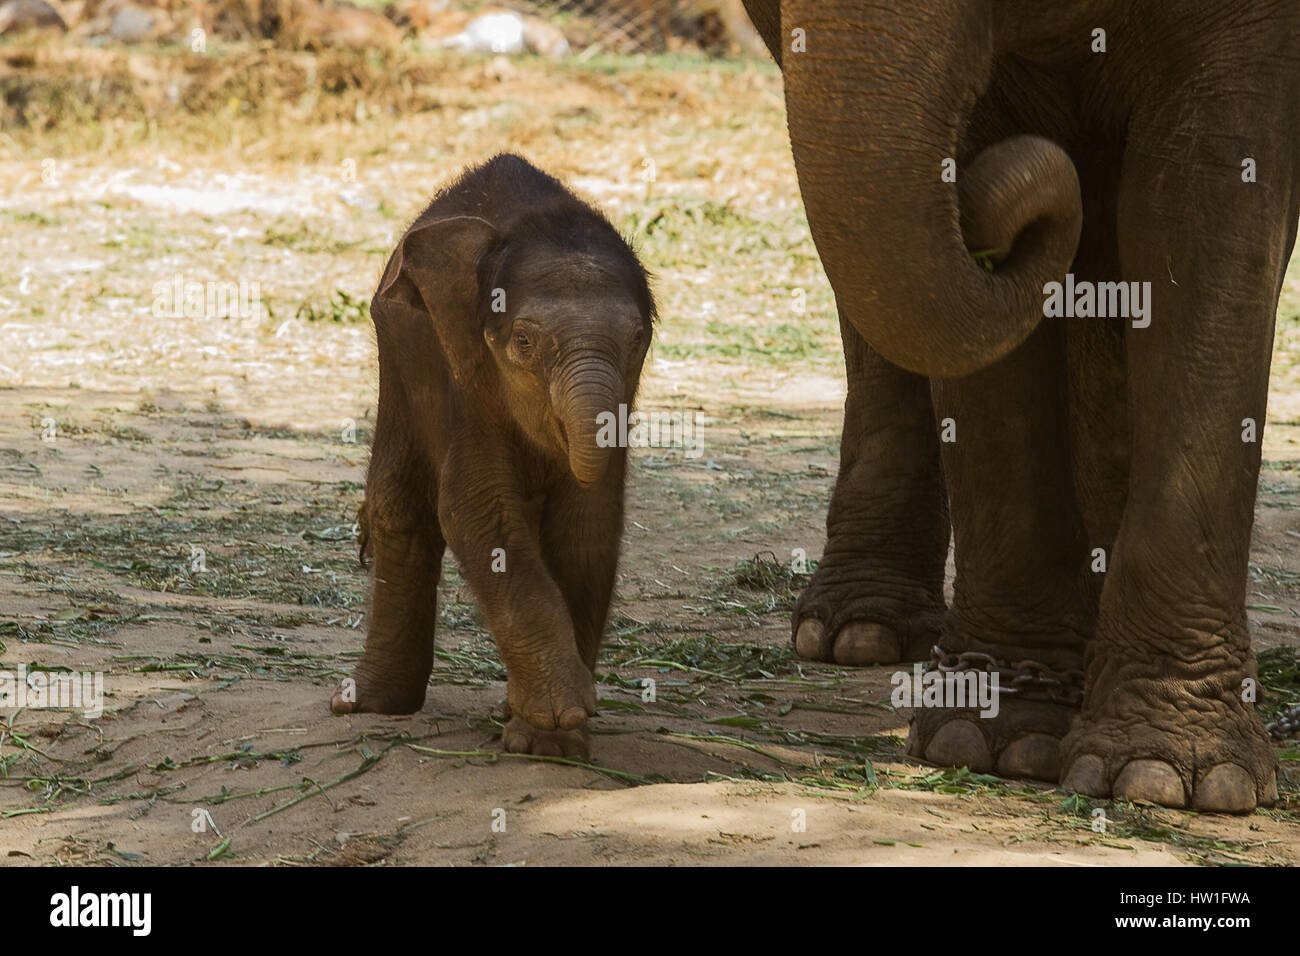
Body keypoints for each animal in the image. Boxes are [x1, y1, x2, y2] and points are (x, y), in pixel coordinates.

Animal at [332, 153, 655, 759]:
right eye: (523, 343)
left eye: (637, 342)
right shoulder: (456, 367)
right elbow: (475, 509)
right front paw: (560, 714)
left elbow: (589, 523)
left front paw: (551, 738)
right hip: (398, 359)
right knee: (401, 507)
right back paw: (366, 705)